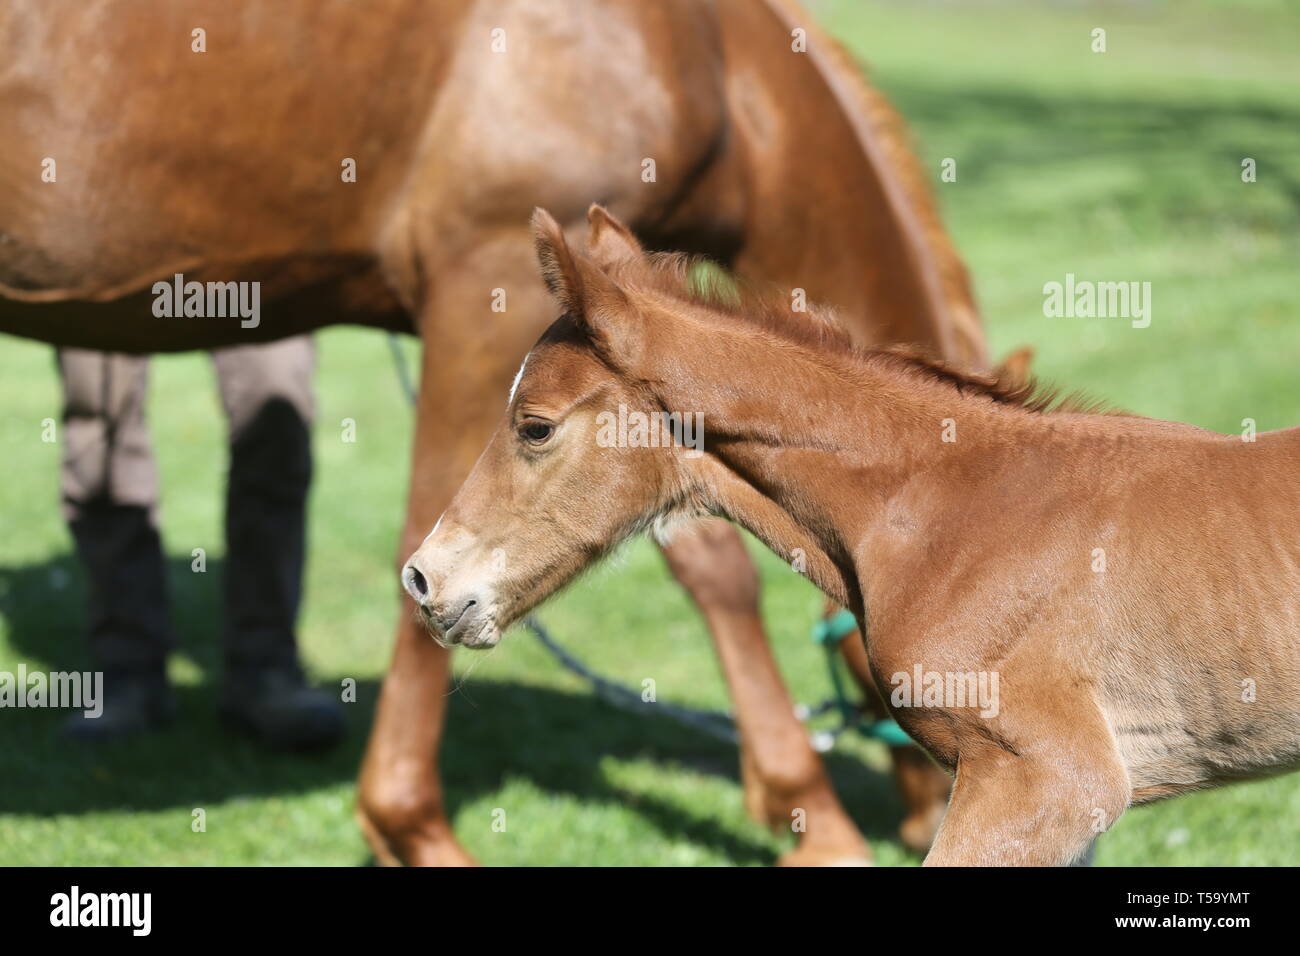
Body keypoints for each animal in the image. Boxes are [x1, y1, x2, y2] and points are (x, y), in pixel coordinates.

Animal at [0, 0, 982, 864]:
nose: (930, 814)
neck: (704, 54)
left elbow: (706, 561)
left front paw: (805, 810)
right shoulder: (484, 286)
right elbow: (435, 549)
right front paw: (409, 826)